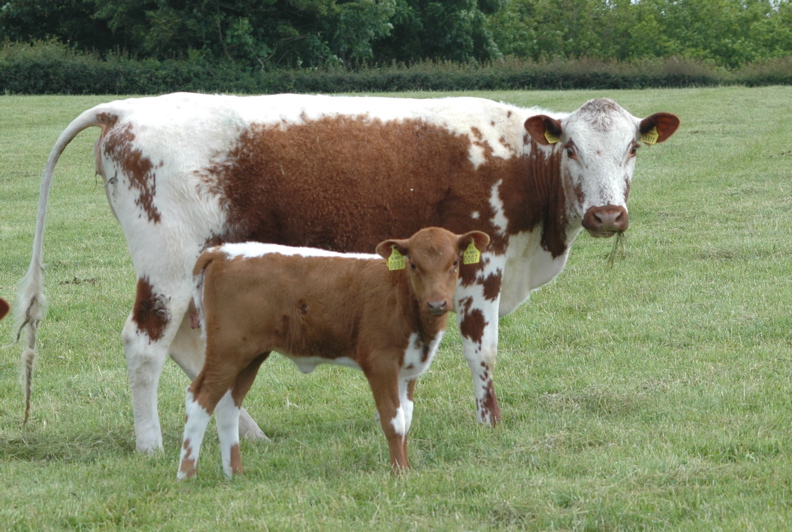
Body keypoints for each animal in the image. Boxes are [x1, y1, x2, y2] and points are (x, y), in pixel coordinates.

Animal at [16, 92, 680, 453]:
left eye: (632, 149)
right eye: (571, 147)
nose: (606, 215)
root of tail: (126, 109)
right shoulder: (482, 265)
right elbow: (482, 349)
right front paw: (489, 421)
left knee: (191, 342)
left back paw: (247, 431)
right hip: (168, 260)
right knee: (145, 344)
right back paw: (152, 445)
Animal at [178, 227, 490, 478]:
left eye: (454, 263)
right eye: (413, 264)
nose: (437, 303)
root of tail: (221, 251)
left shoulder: (409, 367)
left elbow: (407, 419)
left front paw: (405, 468)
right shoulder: (380, 363)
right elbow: (393, 421)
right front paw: (399, 474)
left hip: (250, 354)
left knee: (228, 404)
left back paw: (234, 474)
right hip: (227, 349)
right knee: (200, 397)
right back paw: (187, 475)